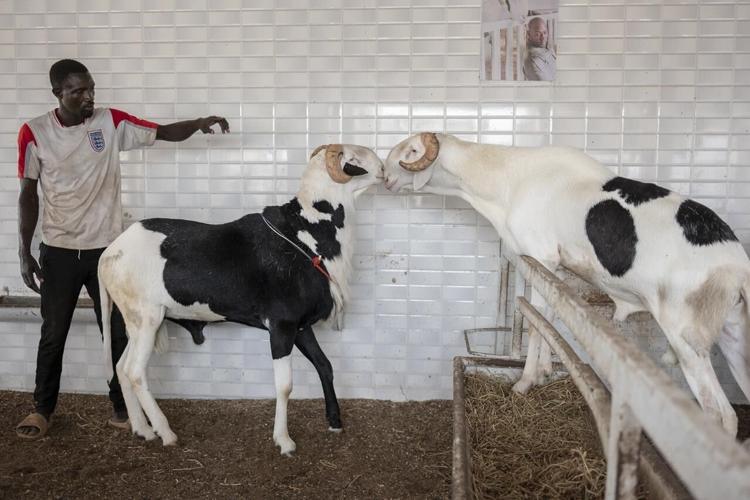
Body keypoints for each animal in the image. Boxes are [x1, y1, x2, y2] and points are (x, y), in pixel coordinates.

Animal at [98, 144, 384, 454]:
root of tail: (109, 254)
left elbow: (324, 365)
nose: (383, 170)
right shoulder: (281, 325)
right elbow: (284, 386)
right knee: (135, 372)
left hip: (136, 322)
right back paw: (165, 432)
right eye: (352, 159)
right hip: (146, 319)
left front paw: (334, 422)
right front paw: (284, 441)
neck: (306, 235)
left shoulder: (300, 326)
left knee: (121, 368)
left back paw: (142, 429)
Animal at [384, 132, 750, 437]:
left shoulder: (541, 258)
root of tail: (736, 265)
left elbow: (536, 323)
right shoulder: (552, 268)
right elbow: (548, 320)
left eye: (410, 150)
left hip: (687, 336)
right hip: (735, 338)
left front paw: (525, 382)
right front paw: (545, 371)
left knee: (721, 415)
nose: (385, 178)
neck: (511, 179)